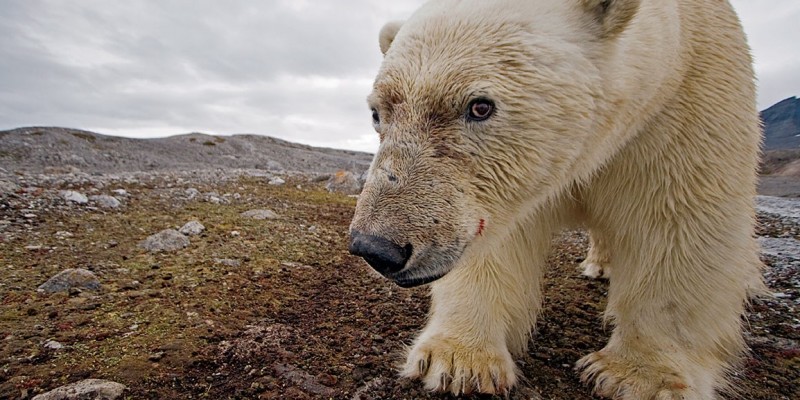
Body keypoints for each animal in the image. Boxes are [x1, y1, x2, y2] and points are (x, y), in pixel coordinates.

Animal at [348, 0, 764, 398]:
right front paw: (458, 361)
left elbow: (681, 222)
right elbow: (499, 240)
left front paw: (639, 377)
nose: (376, 247)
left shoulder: (685, 98)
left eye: (480, 106)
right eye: (377, 113)